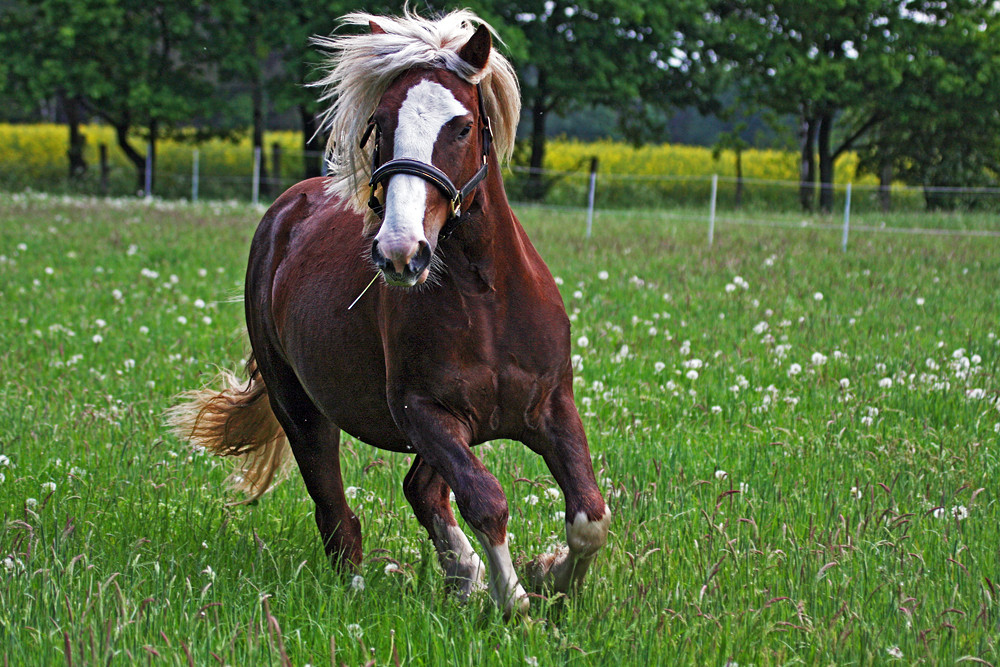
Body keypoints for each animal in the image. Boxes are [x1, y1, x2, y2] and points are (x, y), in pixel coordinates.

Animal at [170, 7, 608, 620]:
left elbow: (590, 516)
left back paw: (463, 576)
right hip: (301, 410)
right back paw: (378, 584)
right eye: (380, 123)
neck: (486, 301)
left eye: (462, 126)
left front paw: (549, 579)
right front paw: (515, 602)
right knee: (337, 512)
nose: (401, 251)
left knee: (421, 491)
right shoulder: (423, 414)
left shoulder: (551, 405)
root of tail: (284, 213)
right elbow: (486, 501)